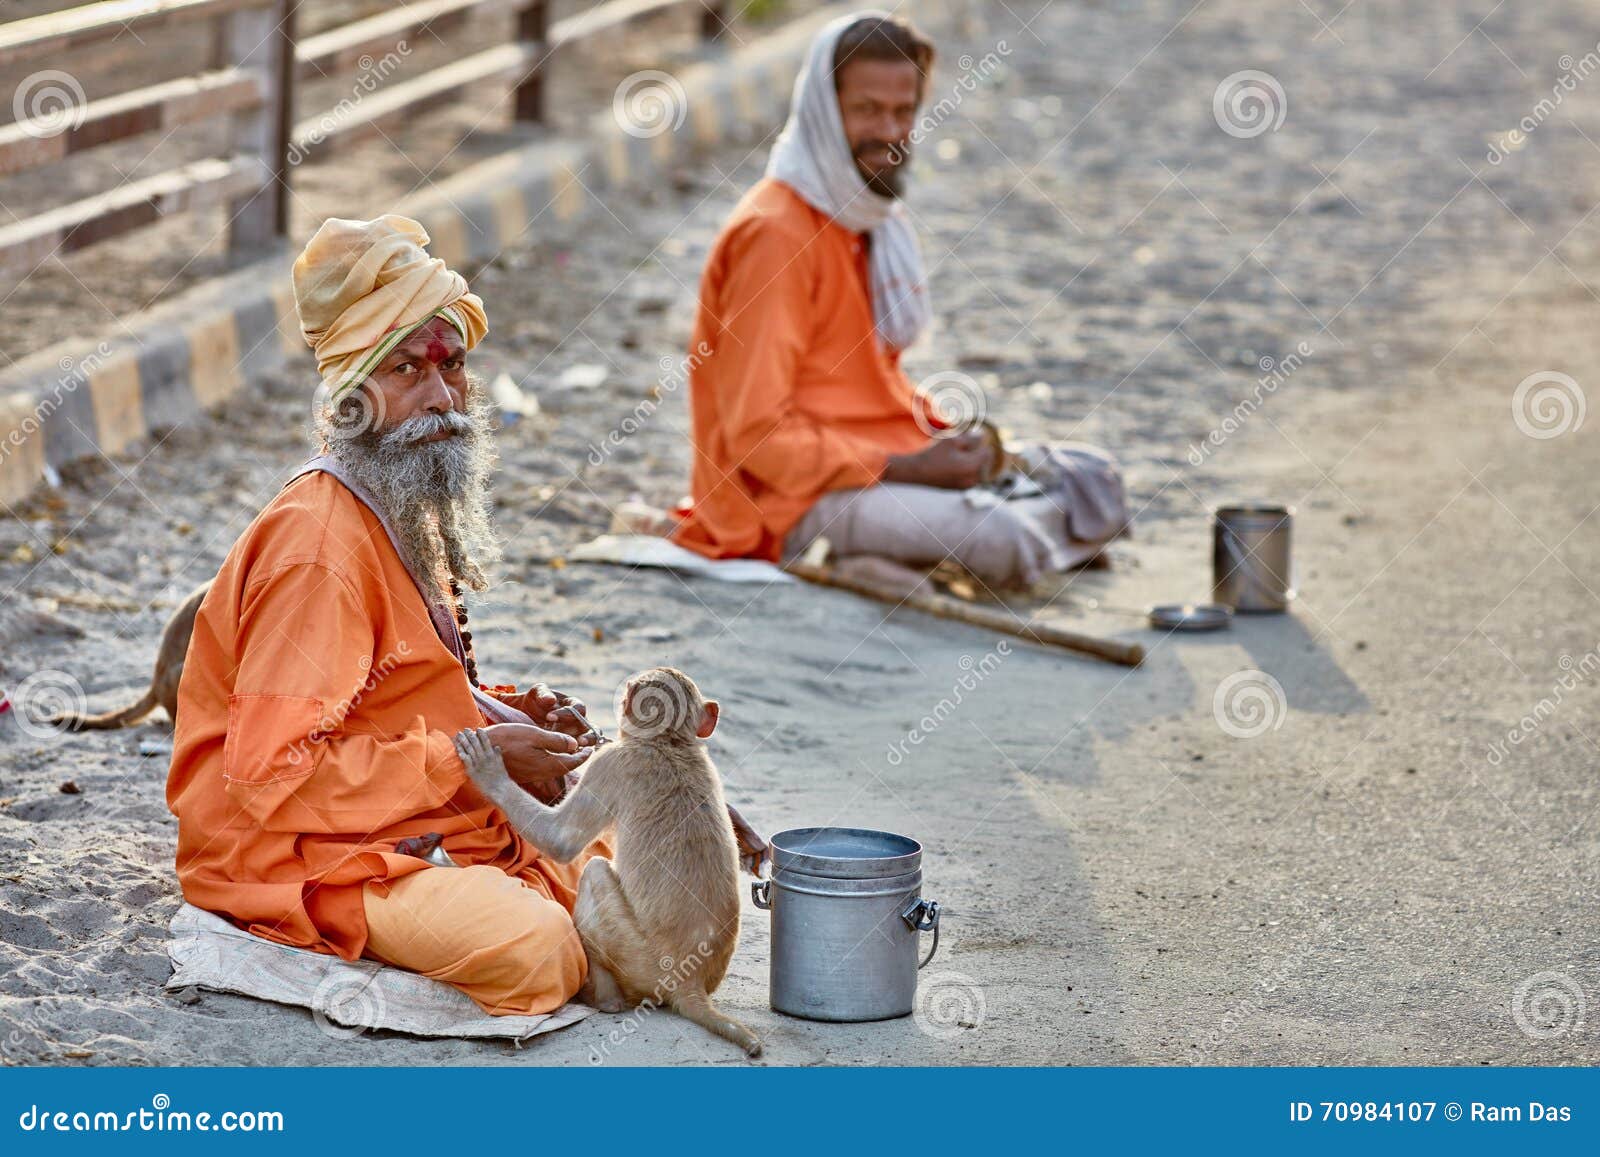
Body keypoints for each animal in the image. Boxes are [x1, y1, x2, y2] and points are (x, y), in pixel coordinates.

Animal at [453, 667, 762, 1057]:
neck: (670, 743)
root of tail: (689, 980)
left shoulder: (609, 762)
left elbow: (561, 839)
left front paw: (489, 772)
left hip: (639, 957)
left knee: (596, 871)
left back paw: (603, 999)